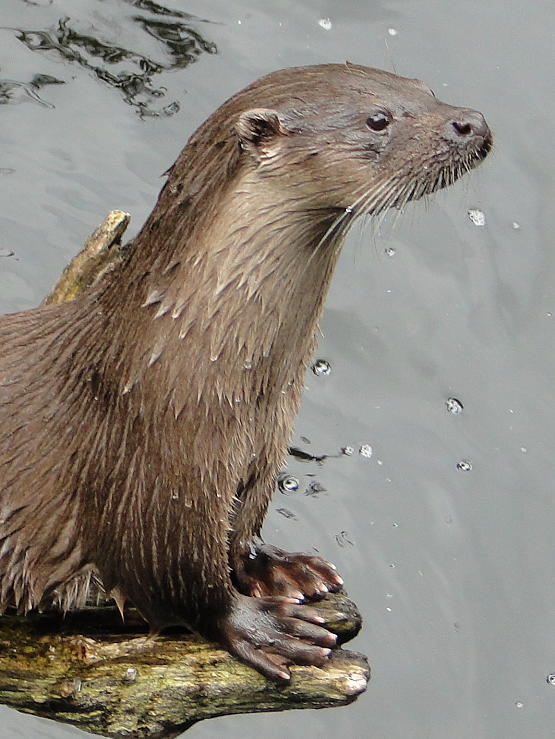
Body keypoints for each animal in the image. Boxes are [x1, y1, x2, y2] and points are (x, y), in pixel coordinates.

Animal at [0, 64, 491, 681]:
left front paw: (279, 566)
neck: (173, 362)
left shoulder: (264, 442)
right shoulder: (155, 474)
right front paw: (261, 625)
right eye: (377, 119)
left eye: (425, 89)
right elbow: (178, 579)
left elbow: (242, 523)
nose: (471, 121)